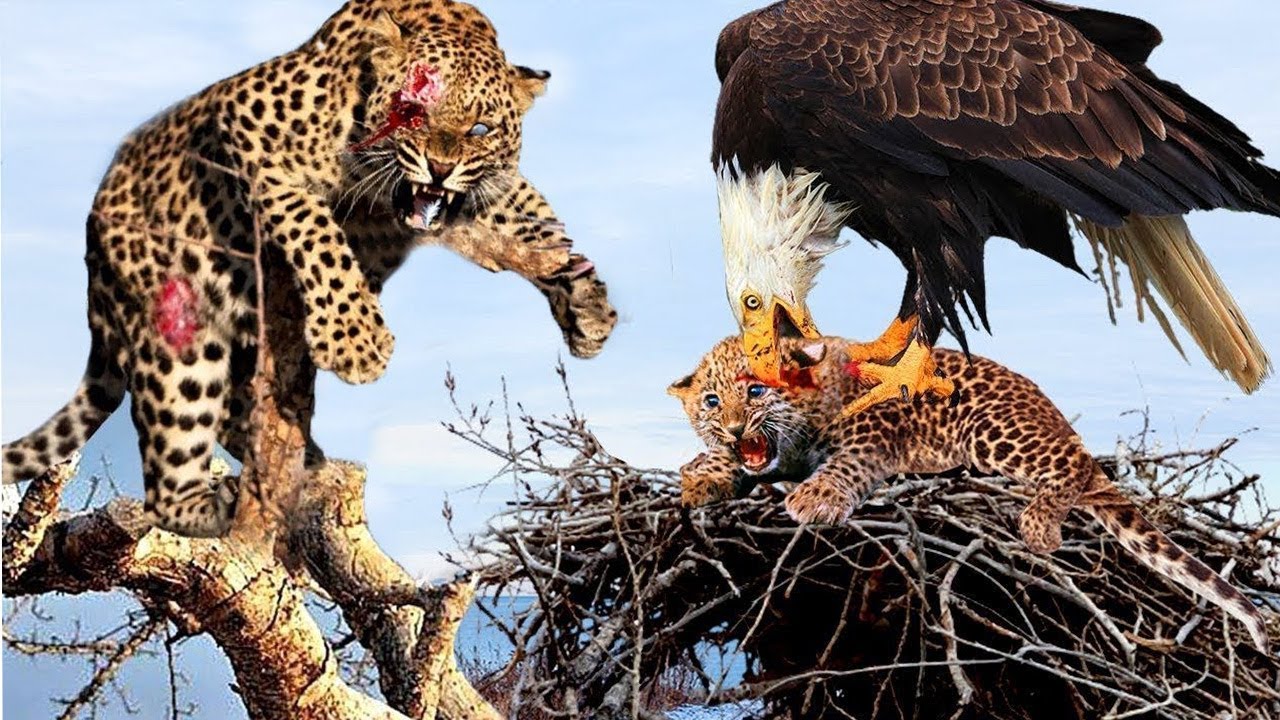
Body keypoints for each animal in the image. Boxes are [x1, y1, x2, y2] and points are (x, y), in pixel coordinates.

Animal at [1, 0, 617, 537]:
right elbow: (314, 227)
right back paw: (222, 502)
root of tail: (93, 257)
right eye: (414, 114)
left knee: (237, 408)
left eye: (480, 131)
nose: (440, 168)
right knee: (169, 482)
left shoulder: (489, 191)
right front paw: (355, 341)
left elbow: (538, 219)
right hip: (178, 338)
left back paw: (307, 464)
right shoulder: (246, 122)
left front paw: (587, 307)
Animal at [668, 336, 1270, 653]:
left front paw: (817, 499)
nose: (735, 427)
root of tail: (1049, 408)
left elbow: (848, 462)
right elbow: (735, 465)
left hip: (993, 429)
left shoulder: (873, 429)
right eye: (712, 402)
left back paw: (1039, 526)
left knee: (1078, 469)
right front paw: (701, 474)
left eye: (756, 390)